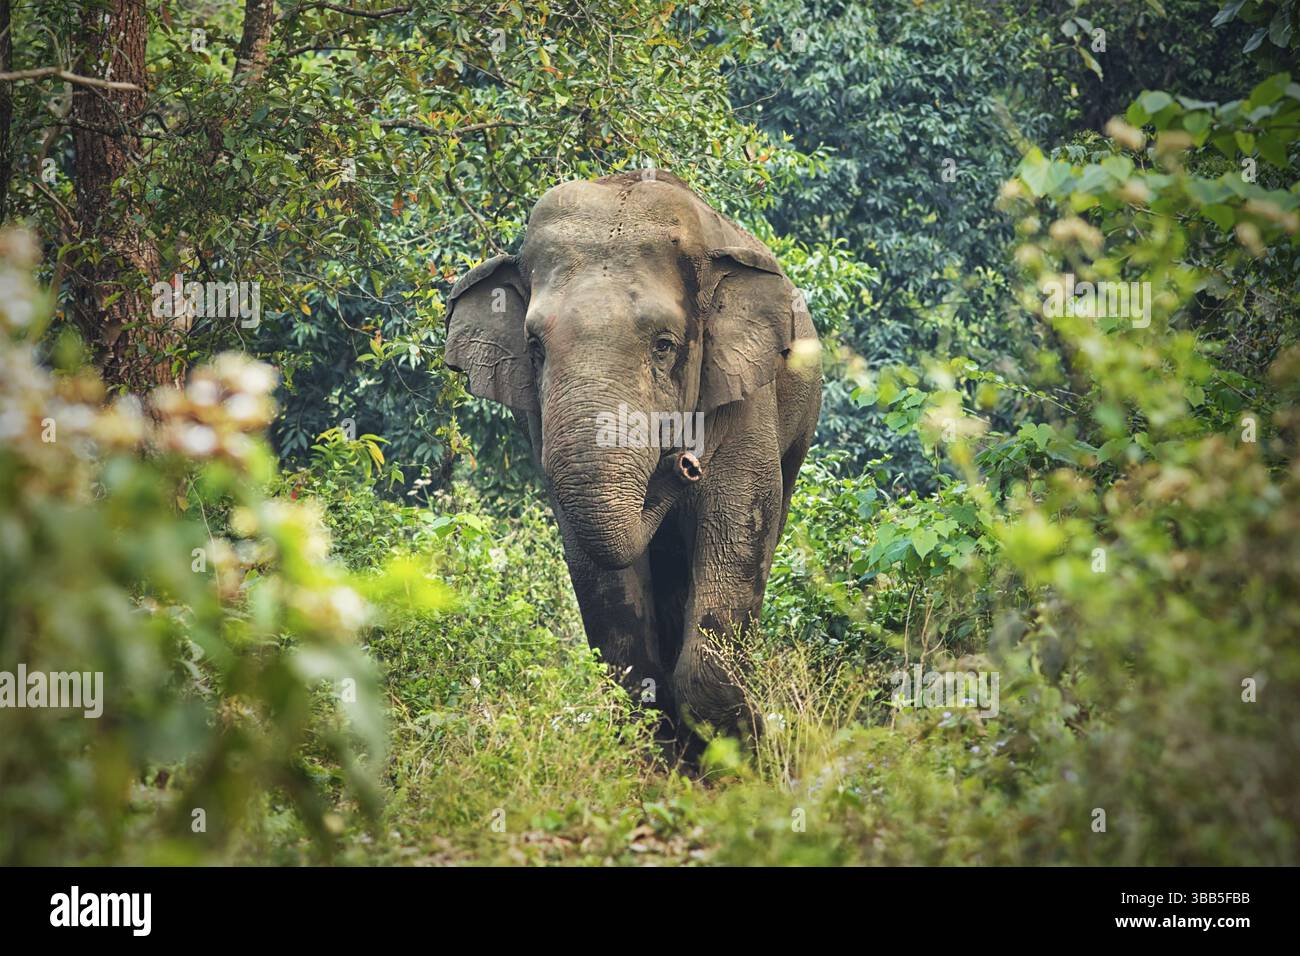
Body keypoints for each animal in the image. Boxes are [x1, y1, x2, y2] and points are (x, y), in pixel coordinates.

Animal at [443, 170, 821, 747]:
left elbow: (737, 521)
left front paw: (757, 744)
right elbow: (599, 572)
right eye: (534, 348)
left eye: (664, 346)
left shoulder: (744, 392)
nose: (684, 464)